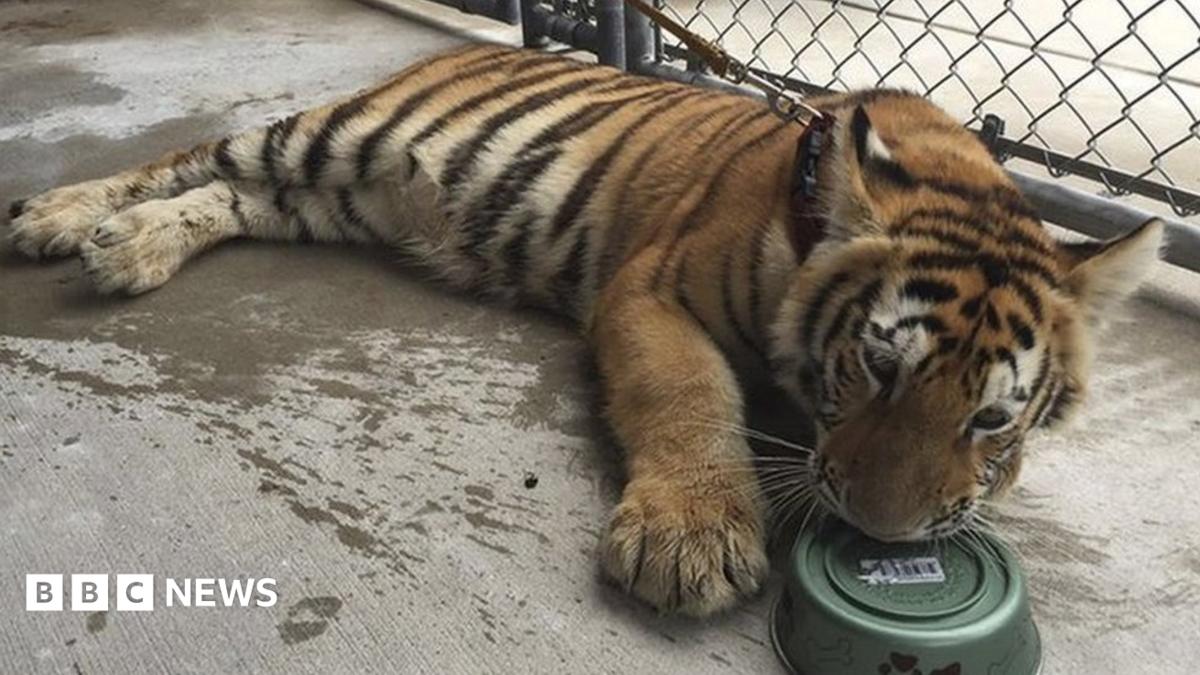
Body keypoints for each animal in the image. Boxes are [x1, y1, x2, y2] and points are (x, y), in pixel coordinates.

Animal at [7, 43, 1163, 617]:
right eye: (877, 366)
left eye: (990, 419)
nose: (880, 537)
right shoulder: (652, 293)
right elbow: (690, 398)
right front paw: (692, 537)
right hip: (322, 138)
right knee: (185, 159)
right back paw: (60, 217)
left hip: (329, 198)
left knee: (223, 199)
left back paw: (129, 249)